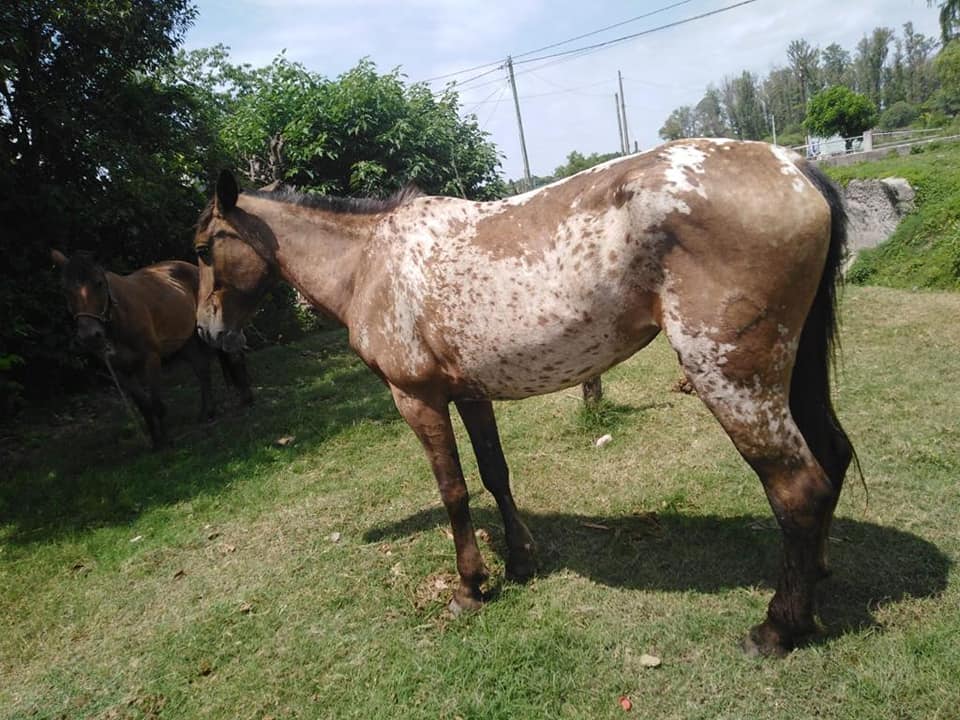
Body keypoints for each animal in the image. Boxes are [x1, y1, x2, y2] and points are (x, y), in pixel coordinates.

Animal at [52, 251, 253, 448]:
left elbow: (156, 403)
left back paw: (246, 399)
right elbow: (144, 406)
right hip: (186, 341)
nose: (89, 335)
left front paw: (166, 440)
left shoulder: (151, 359)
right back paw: (207, 413)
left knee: (234, 356)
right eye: (65, 290)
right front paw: (156, 441)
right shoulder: (120, 372)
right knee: (202, 369)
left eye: (98, 283)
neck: (119, 318)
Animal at [193, 138, 855, 657]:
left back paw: (778, 628)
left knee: (798, 488)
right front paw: (520, 561)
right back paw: (818, 575)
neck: (369, 261)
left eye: (202, 249)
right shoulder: (470, 393)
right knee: (833, 457)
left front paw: (470, 588)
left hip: (729, 377)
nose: (206, 333)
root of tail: (795, 166)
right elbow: (494, 473)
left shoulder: (418, 399)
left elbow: (455, 491)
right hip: (791, 372)